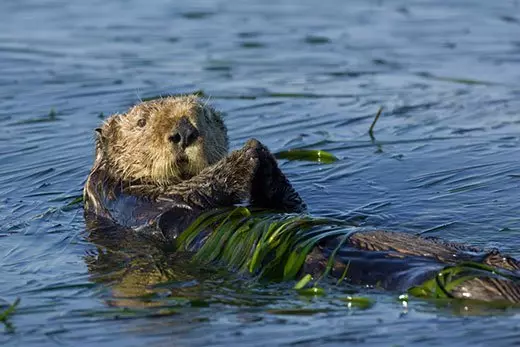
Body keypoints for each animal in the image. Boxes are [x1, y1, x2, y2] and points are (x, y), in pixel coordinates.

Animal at [85, 96, 520, 304]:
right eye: (142, 122)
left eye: (203, 116)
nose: (184, 132)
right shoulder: (129, 199)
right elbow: (191, 195)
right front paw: (248, 153)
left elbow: (289, 207)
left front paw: (262, 154)